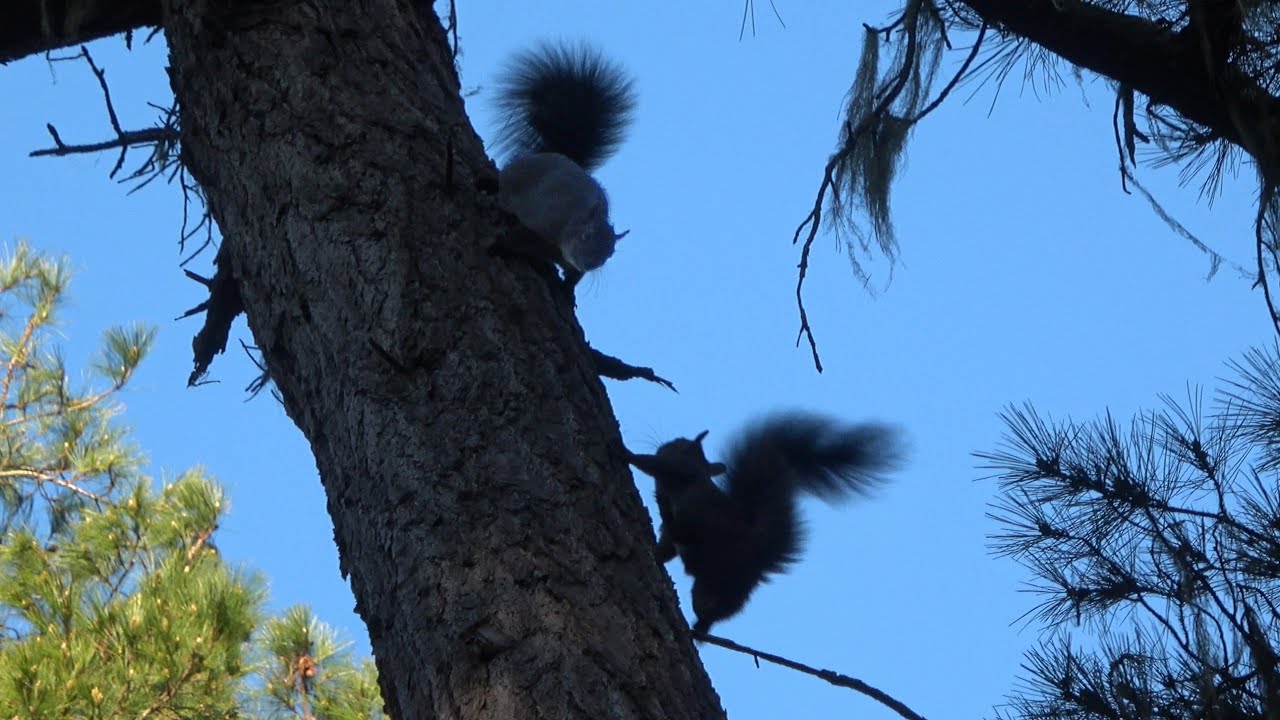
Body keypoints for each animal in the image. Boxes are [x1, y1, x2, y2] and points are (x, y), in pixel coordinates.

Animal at [491, 41, 637, 282]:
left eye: (610, 254)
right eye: (587, 235)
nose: (589, 263)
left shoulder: (572, 265)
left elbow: (573, 277)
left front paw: (567, 288)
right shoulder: (542, 219)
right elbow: (516, 237)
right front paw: (499, 246)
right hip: (516, 179)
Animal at [628, 412, 906, 634]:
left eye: (678, 443)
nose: (662, 443)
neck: (698, 470)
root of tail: (758, 559)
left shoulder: (674, 470)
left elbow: (650, 464)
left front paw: (627, 452)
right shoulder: (671, 527)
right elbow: (667, 546)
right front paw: (656, 553)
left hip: (722, 577)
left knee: (711, 612)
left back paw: (698, 630)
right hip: (719, 587)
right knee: (716, 612)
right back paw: (699, 630)